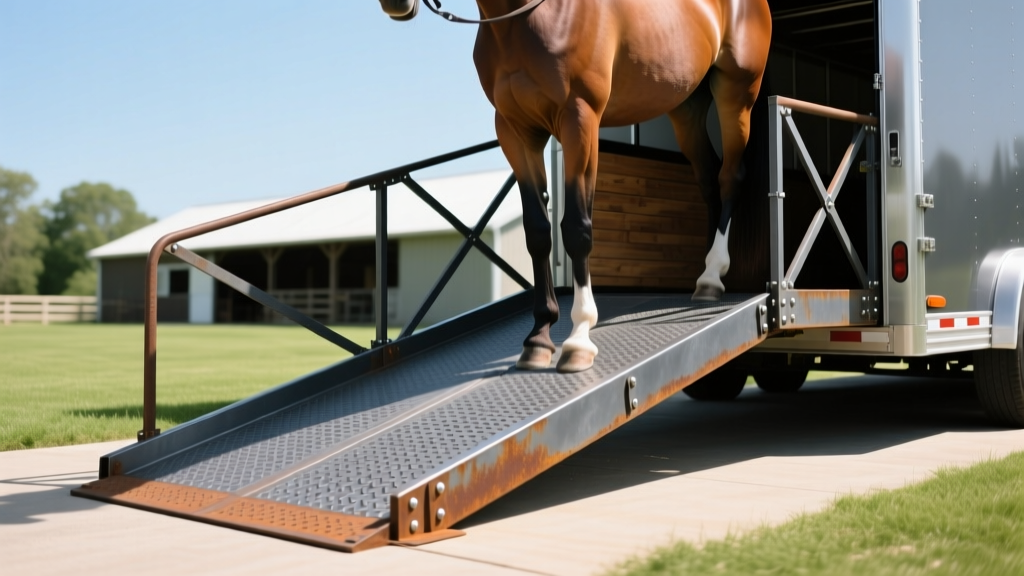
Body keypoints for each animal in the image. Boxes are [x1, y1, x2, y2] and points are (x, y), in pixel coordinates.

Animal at [378, 0, 772, 373]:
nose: (396, 5)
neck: (526, 18)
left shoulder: (580, 120)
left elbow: (576, 229)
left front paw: (579, 339)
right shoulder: (515, 131)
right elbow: (538, 231)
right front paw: (538, 339)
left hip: (737, 93)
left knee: (729, 176)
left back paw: (713, 274)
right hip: (686, 105)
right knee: (708, 178)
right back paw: (705, 279)